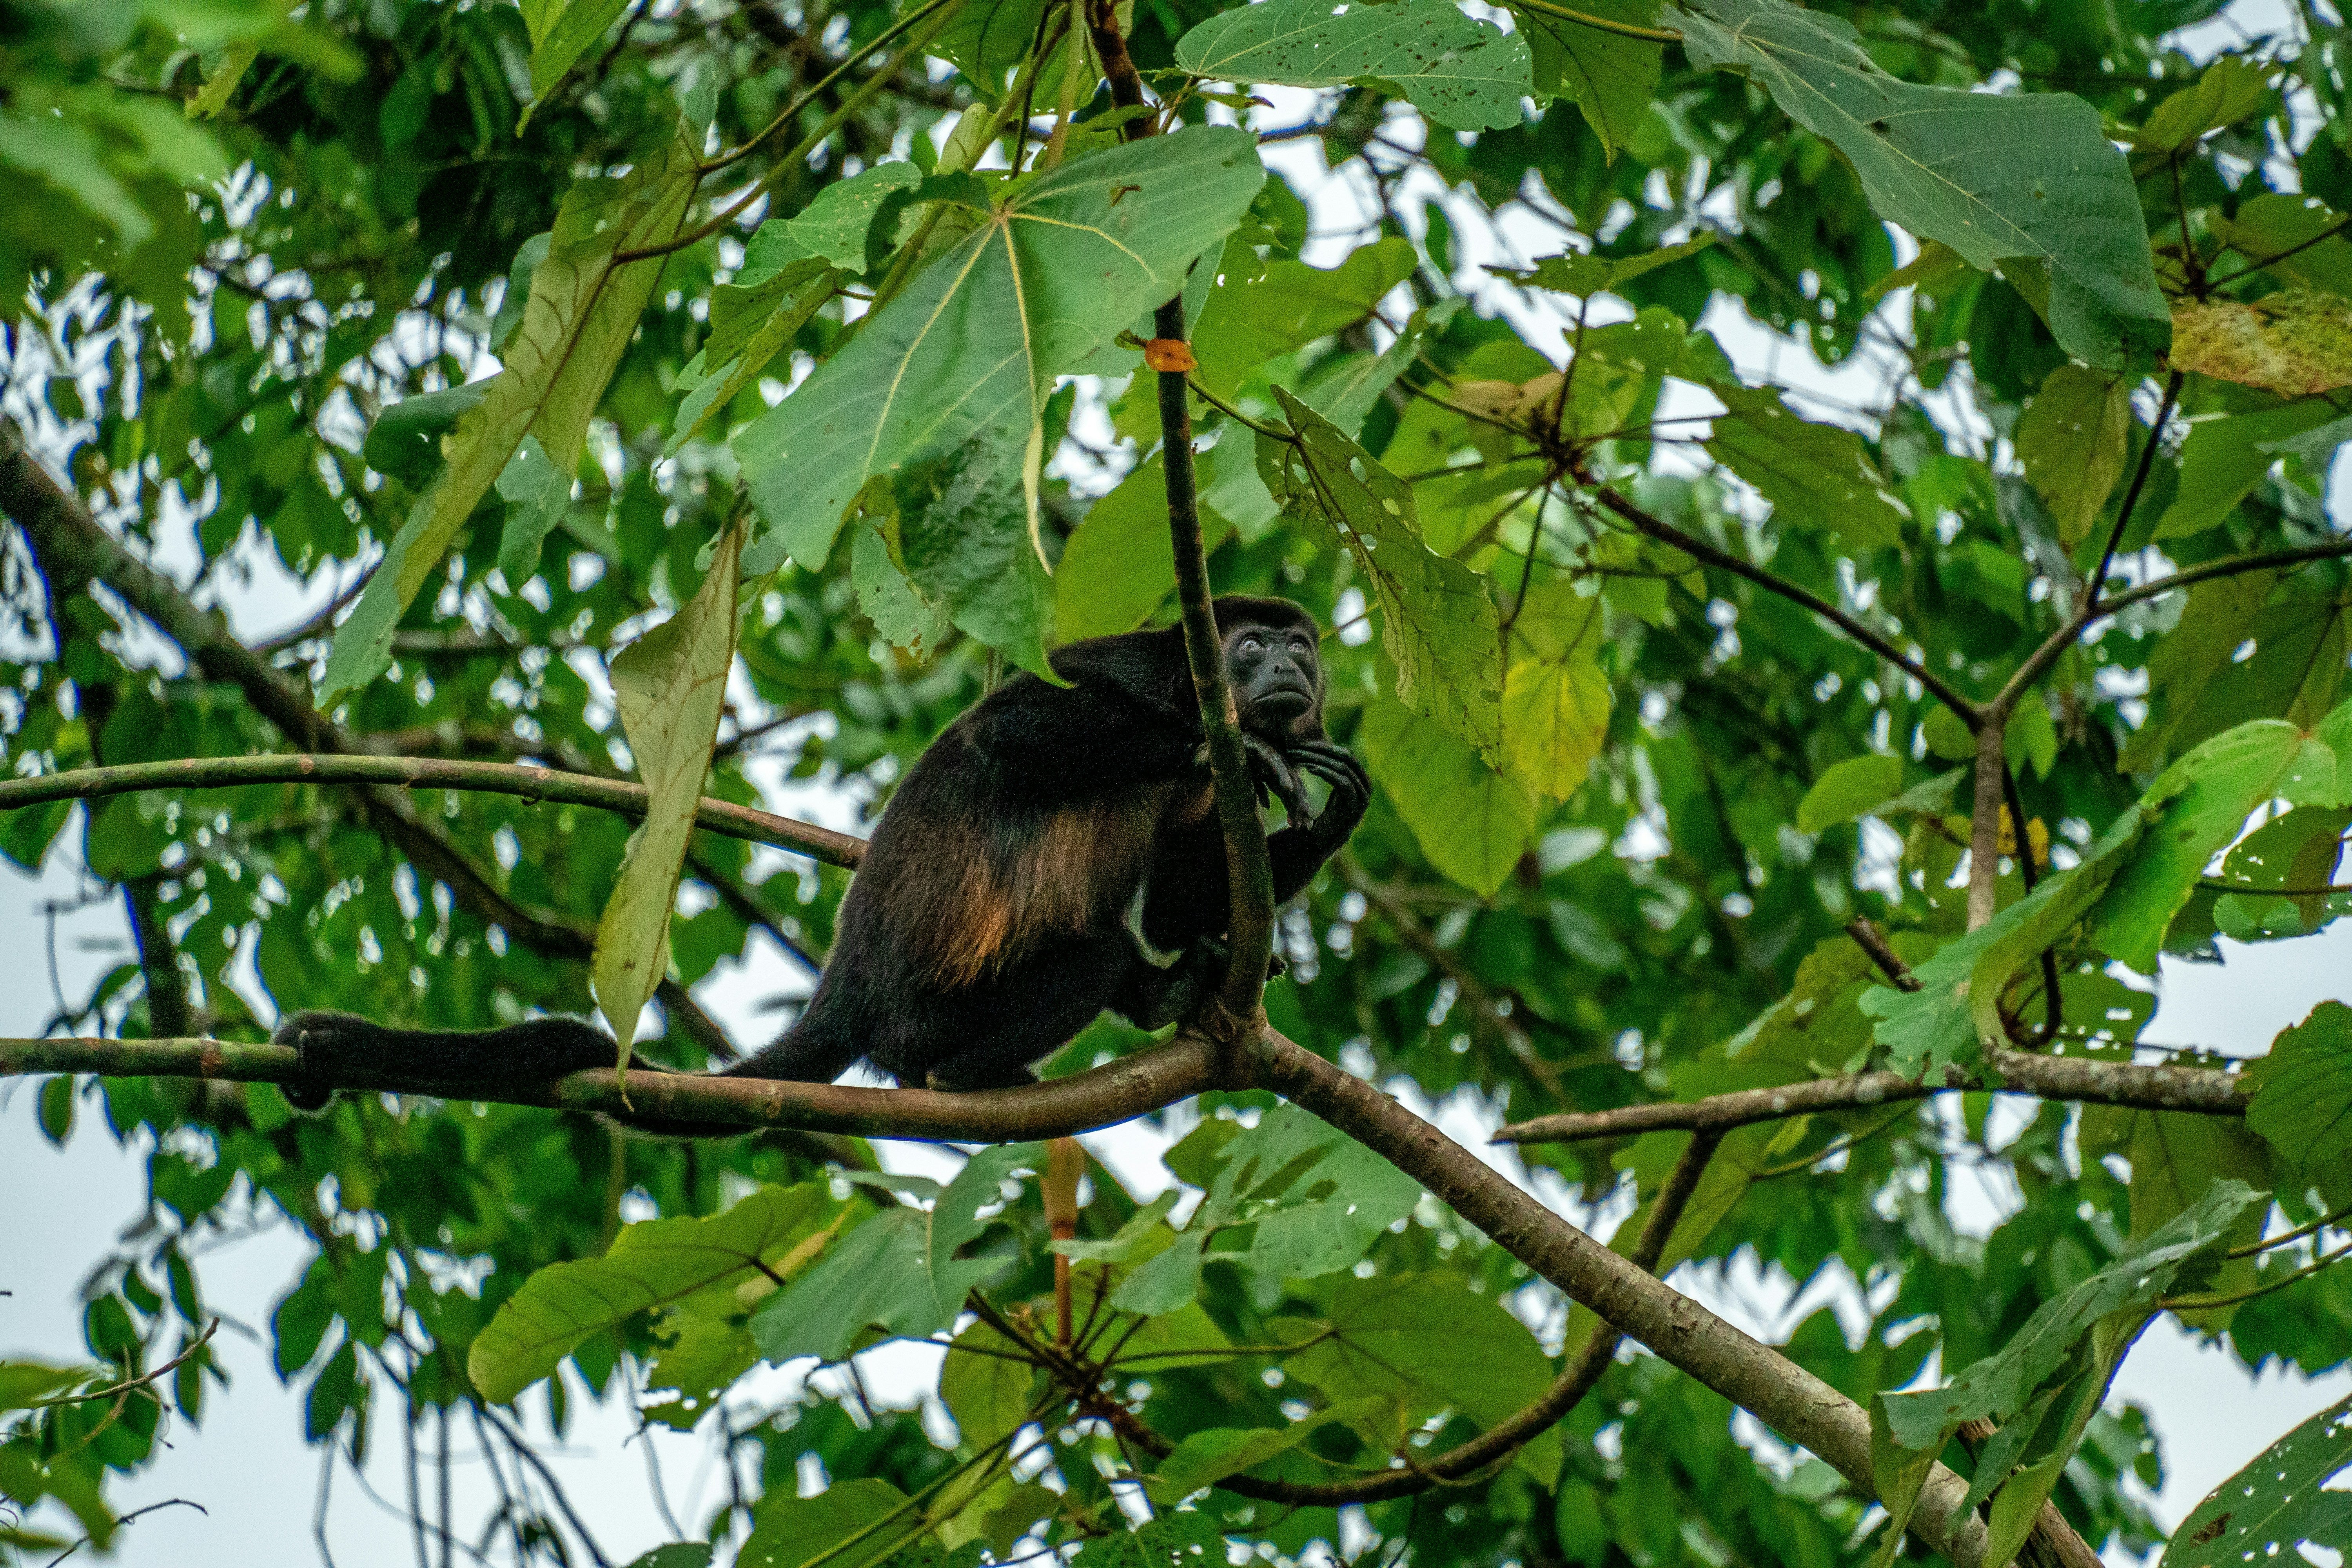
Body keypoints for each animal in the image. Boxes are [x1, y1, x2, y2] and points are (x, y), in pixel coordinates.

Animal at [276, 595, 1369, 1114]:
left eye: (1300, 650)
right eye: (1250, 646)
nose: (1286, 667)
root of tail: (847, 987)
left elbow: (1185, 886)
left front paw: (1328, 822)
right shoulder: (1146, 664)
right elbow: (1009, 732)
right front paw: (1245, 751)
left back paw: (1169, 990)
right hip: (921, 1015)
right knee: (1089, 950)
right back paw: (964, 1076)